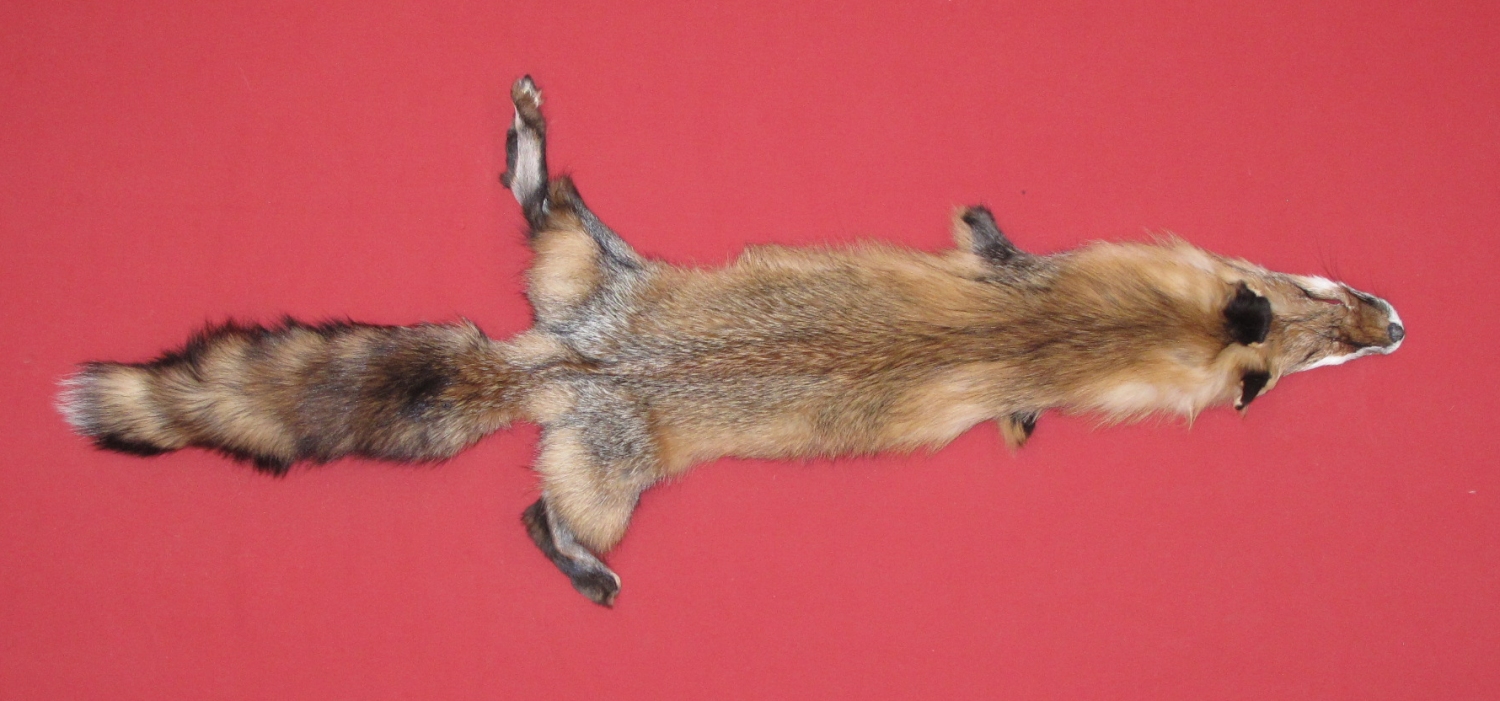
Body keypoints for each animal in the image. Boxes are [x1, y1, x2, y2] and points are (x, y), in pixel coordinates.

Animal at [59, 76, 1405, 607]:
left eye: (1335, 294)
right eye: (1324, 334)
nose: (1395, 323)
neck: (1077, 322)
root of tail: (556, 363)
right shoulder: (1018, 289)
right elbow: (995, 257)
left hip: (580, 267)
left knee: (544, 210)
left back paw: (534, 150)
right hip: (611, 485)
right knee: (537, 516)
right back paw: (587, 573)